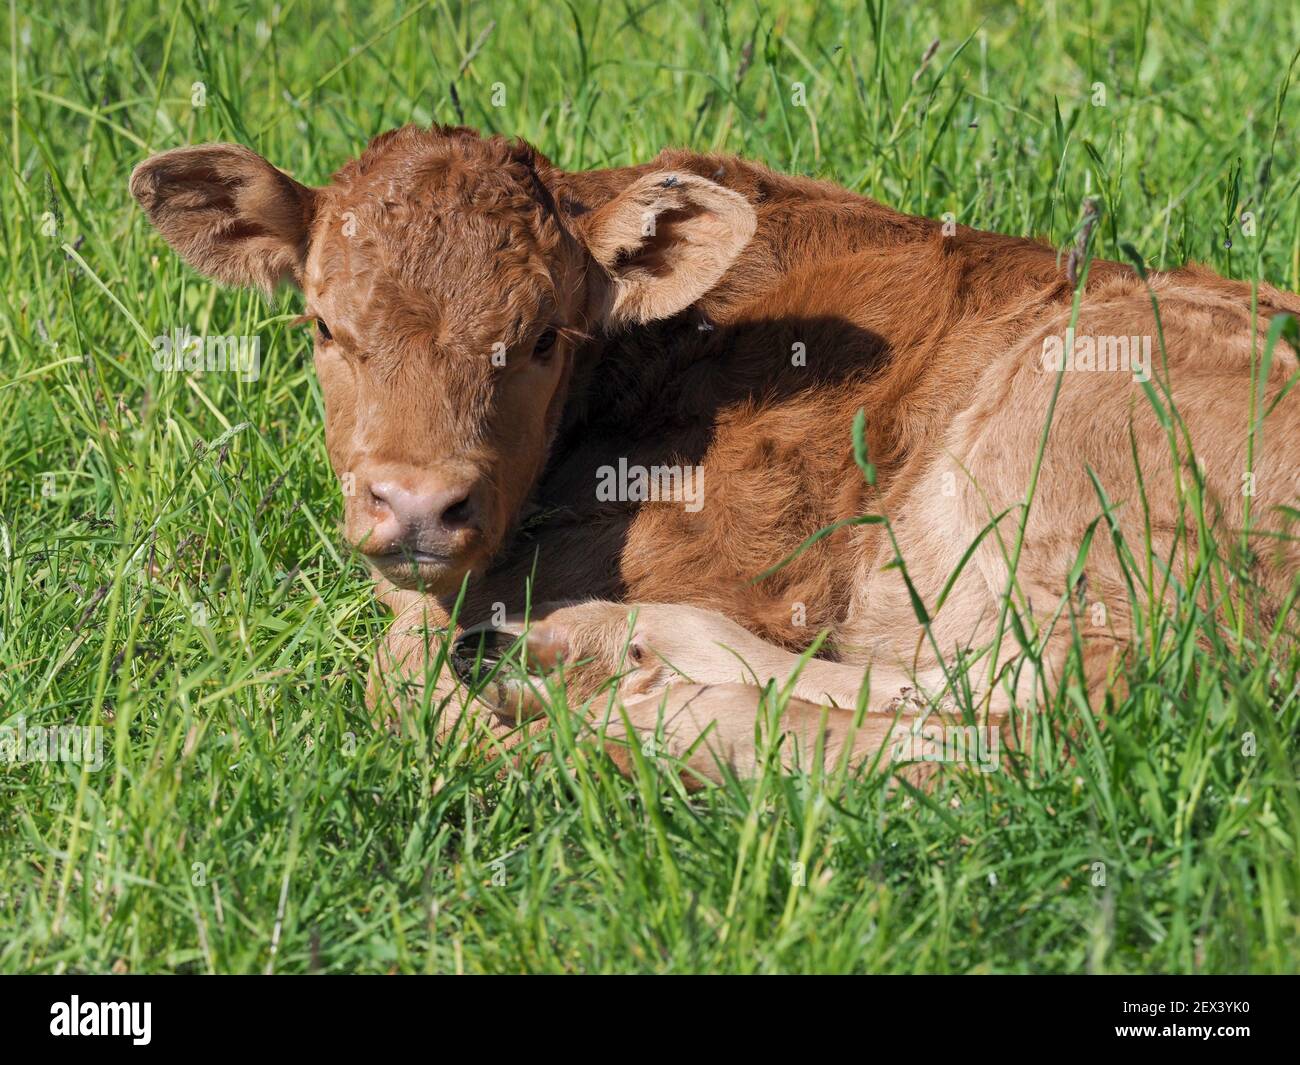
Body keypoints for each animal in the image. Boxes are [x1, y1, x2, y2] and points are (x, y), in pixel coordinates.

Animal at [130, 125, 1300, 785]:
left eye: (545, 335)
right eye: (324, 325)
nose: (416, 505)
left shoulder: (755, 563)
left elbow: (397, 672)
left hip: (1073, 470)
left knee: (1060, 705)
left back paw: (638, 702)